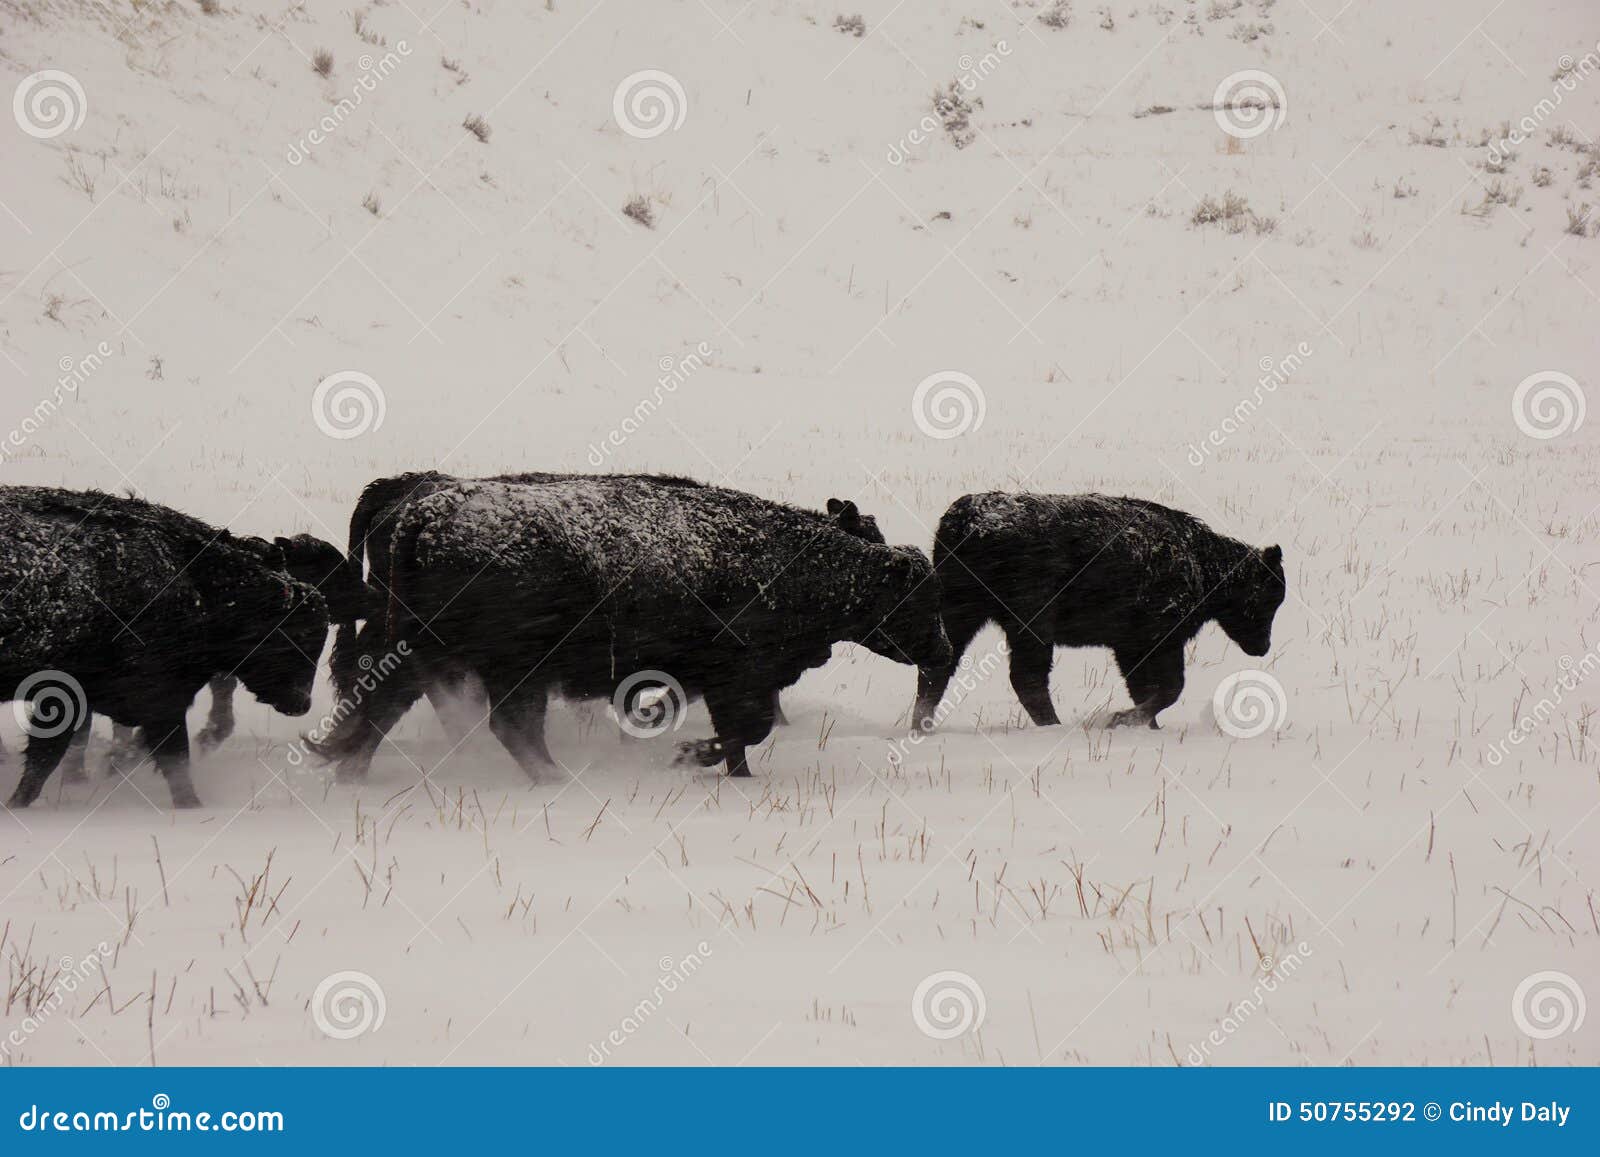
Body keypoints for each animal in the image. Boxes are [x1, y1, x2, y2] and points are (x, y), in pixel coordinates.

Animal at [310, 477, 949, 781]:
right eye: (916, 598)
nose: (942, 652)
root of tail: (421, 514)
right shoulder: (734, 676)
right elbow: (747, 729)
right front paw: (691, 755)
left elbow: (744, 735)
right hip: (508, 667)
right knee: (508, 726)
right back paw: (555, 779)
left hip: (430, 656)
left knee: (385, 708)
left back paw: (350, 773)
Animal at [912, 492, 1285, 731]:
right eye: (1268, 596)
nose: (1262, 647)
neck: (1202, 561)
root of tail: (963, 522)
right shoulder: (1157, 641)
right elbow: (1169, 688)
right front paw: (1121, 719)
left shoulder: (1131, 647)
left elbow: (1147, 688)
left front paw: (1145, 726)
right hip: (1029, 626)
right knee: (1027, 679)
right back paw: (1053, 727)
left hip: (960, 616)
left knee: (937, 669)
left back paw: (921, 726)